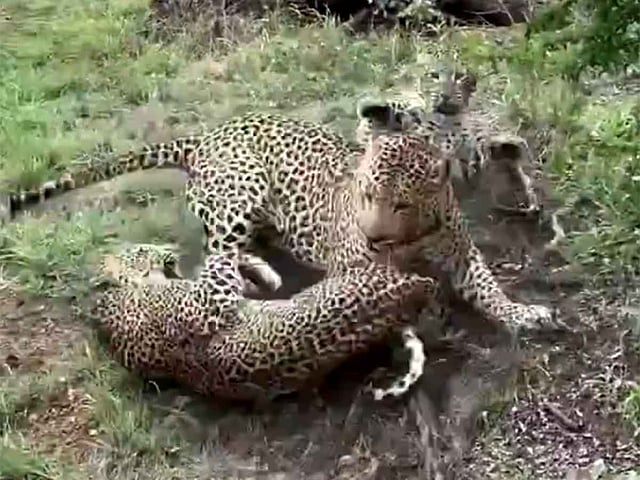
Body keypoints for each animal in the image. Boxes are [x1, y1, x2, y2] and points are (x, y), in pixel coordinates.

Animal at [4, 71, 554, 334]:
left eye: (400, 203)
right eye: (366, 195)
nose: (374, 236)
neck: (415, 233)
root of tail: (207, 135)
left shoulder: (462, 254)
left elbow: (488, 289)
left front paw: (521, 315)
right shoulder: (352, 268)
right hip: (240, 190)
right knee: (211, 256)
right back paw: (257, 280)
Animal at [90, 242, 441, 403]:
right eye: (142, 249)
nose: (169, 248)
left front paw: (258, 270)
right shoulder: (207, 304)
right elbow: (218, 261)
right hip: (366, 273)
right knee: (424, 276)